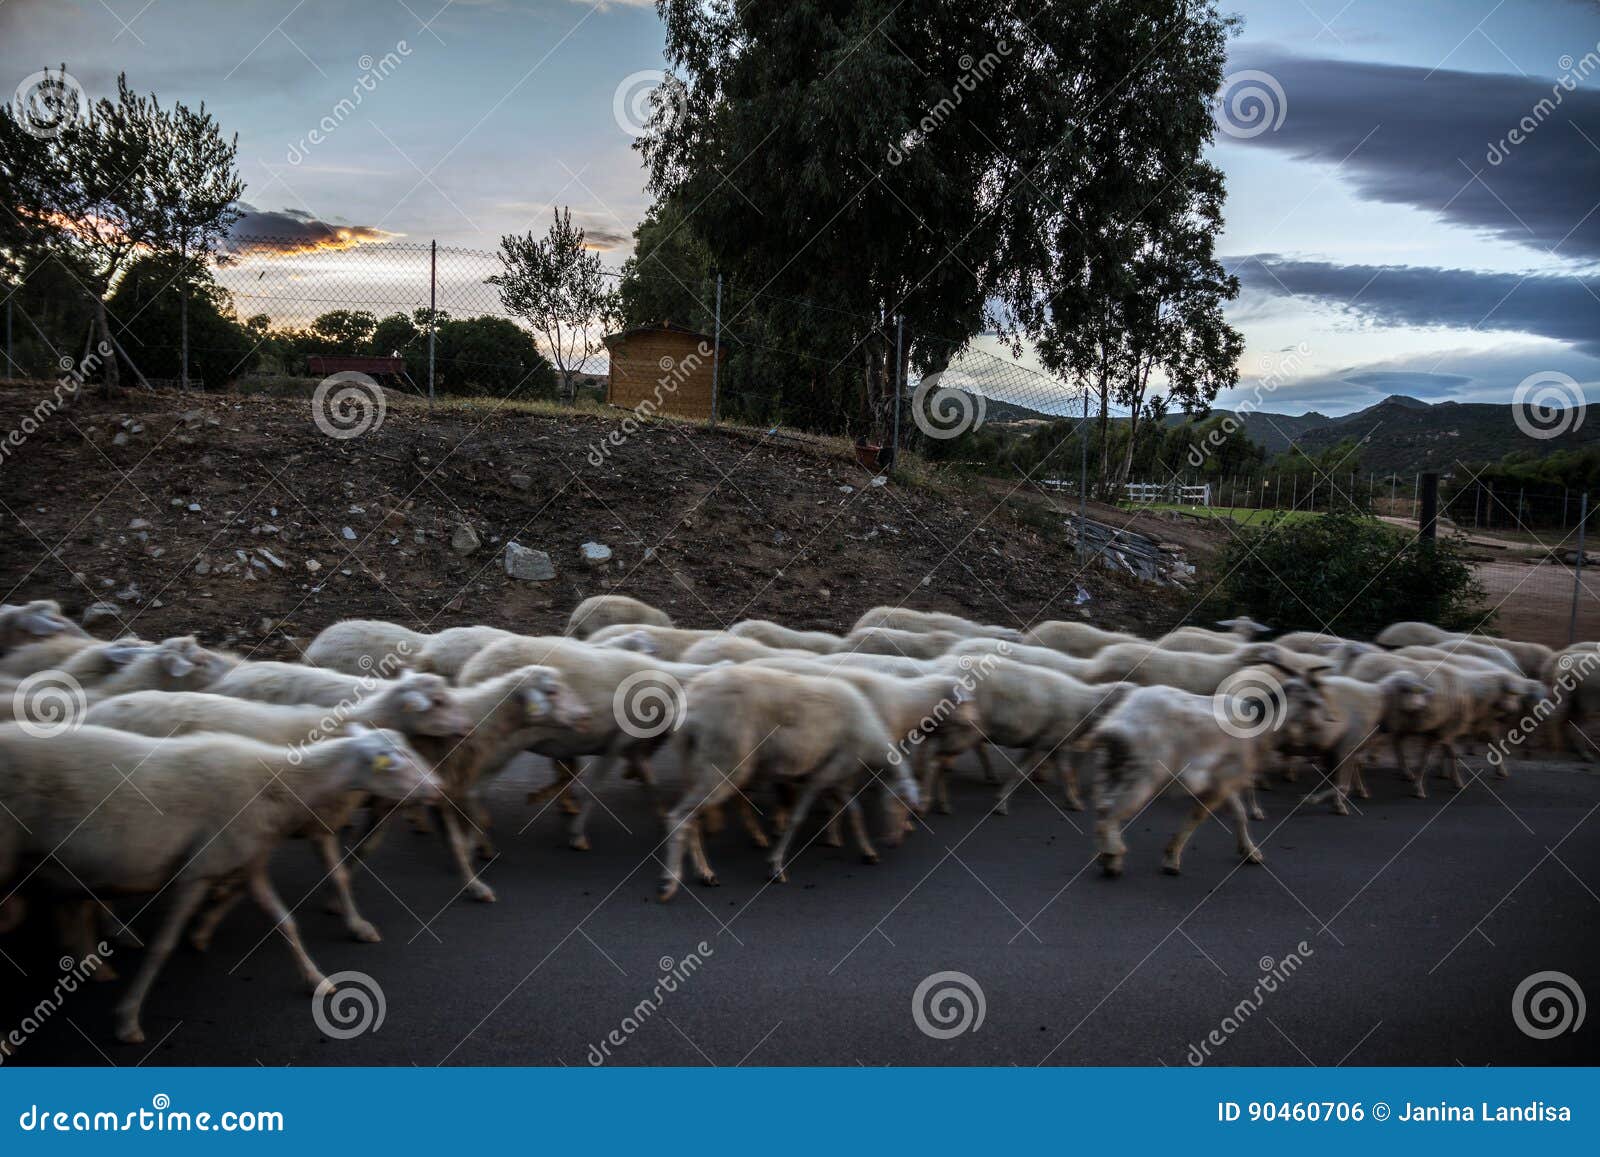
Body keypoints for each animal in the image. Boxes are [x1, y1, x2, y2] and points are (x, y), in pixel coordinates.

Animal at [0, 722, 440, 1043]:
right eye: (397, 760)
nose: (438, 788)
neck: (274, 782)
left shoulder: (250, 864)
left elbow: (285, 922)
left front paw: (318, 980)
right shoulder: (199, 871)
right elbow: (162, 947)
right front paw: (128, 1021)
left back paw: (91, 963)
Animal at [656, 666, 920, 901]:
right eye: (901, 802)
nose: (895, 843)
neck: (871, 739)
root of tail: (691, 707)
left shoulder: (832, 777)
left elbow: (855, 811)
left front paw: (868, 852)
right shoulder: (824, 775)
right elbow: (797, 819)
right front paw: (776, 868)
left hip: (695, 764)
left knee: (691, 817)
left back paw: (705, 873)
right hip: (722, 763)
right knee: (679, 815)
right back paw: (670, 882)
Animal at [1081, 671, 1333, 876]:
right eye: (1313, 702)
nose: (1328, 725)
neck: (1257, 725)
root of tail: (1116, 724)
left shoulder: (1223, 780)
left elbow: (1239, 813)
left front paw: (1250, 852)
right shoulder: (1222, 781)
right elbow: (1198, 815)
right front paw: (1171, 859)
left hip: (1112, 767)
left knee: (1103, 806)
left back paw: (1107, 856)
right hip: (1143, 774)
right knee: (1111, 810)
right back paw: (1113, 858)